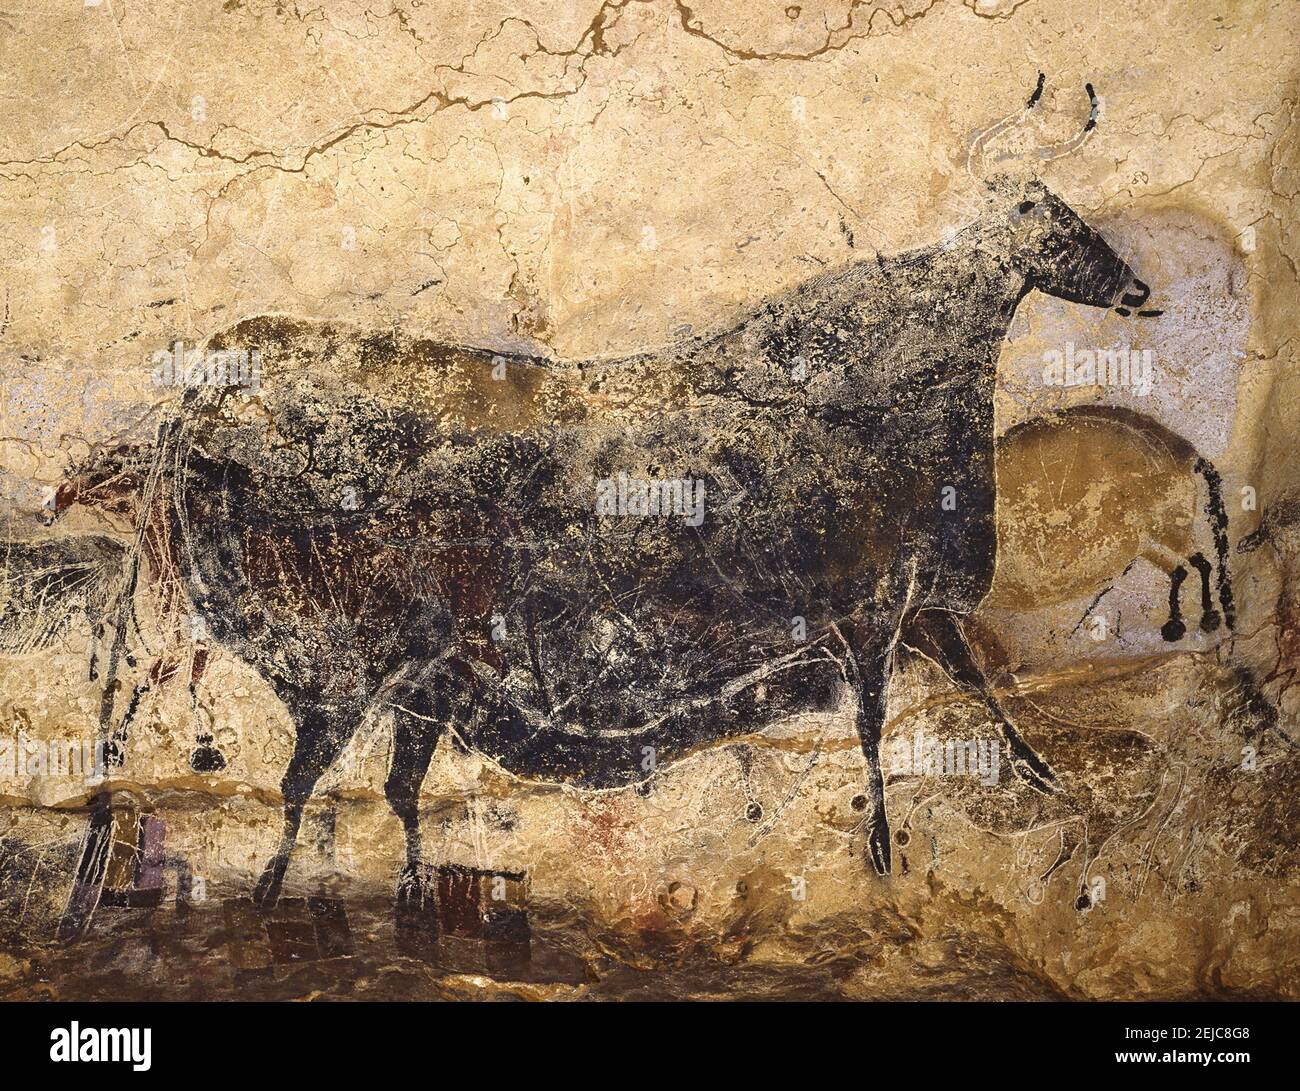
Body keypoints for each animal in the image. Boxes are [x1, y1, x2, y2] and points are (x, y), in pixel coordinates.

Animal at [52, 77, 1160, 910]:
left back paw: (393, 886)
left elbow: (979, 691)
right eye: (1063, 224)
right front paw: (887, 852)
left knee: (383, 784)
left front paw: (1045, 778)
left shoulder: (915, 606)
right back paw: (270, 889)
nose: (1140, 290)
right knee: (290, 776)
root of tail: (207, 383)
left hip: (413, 679)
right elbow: (881, 729)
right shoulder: (871, 607)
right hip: (346, 664)